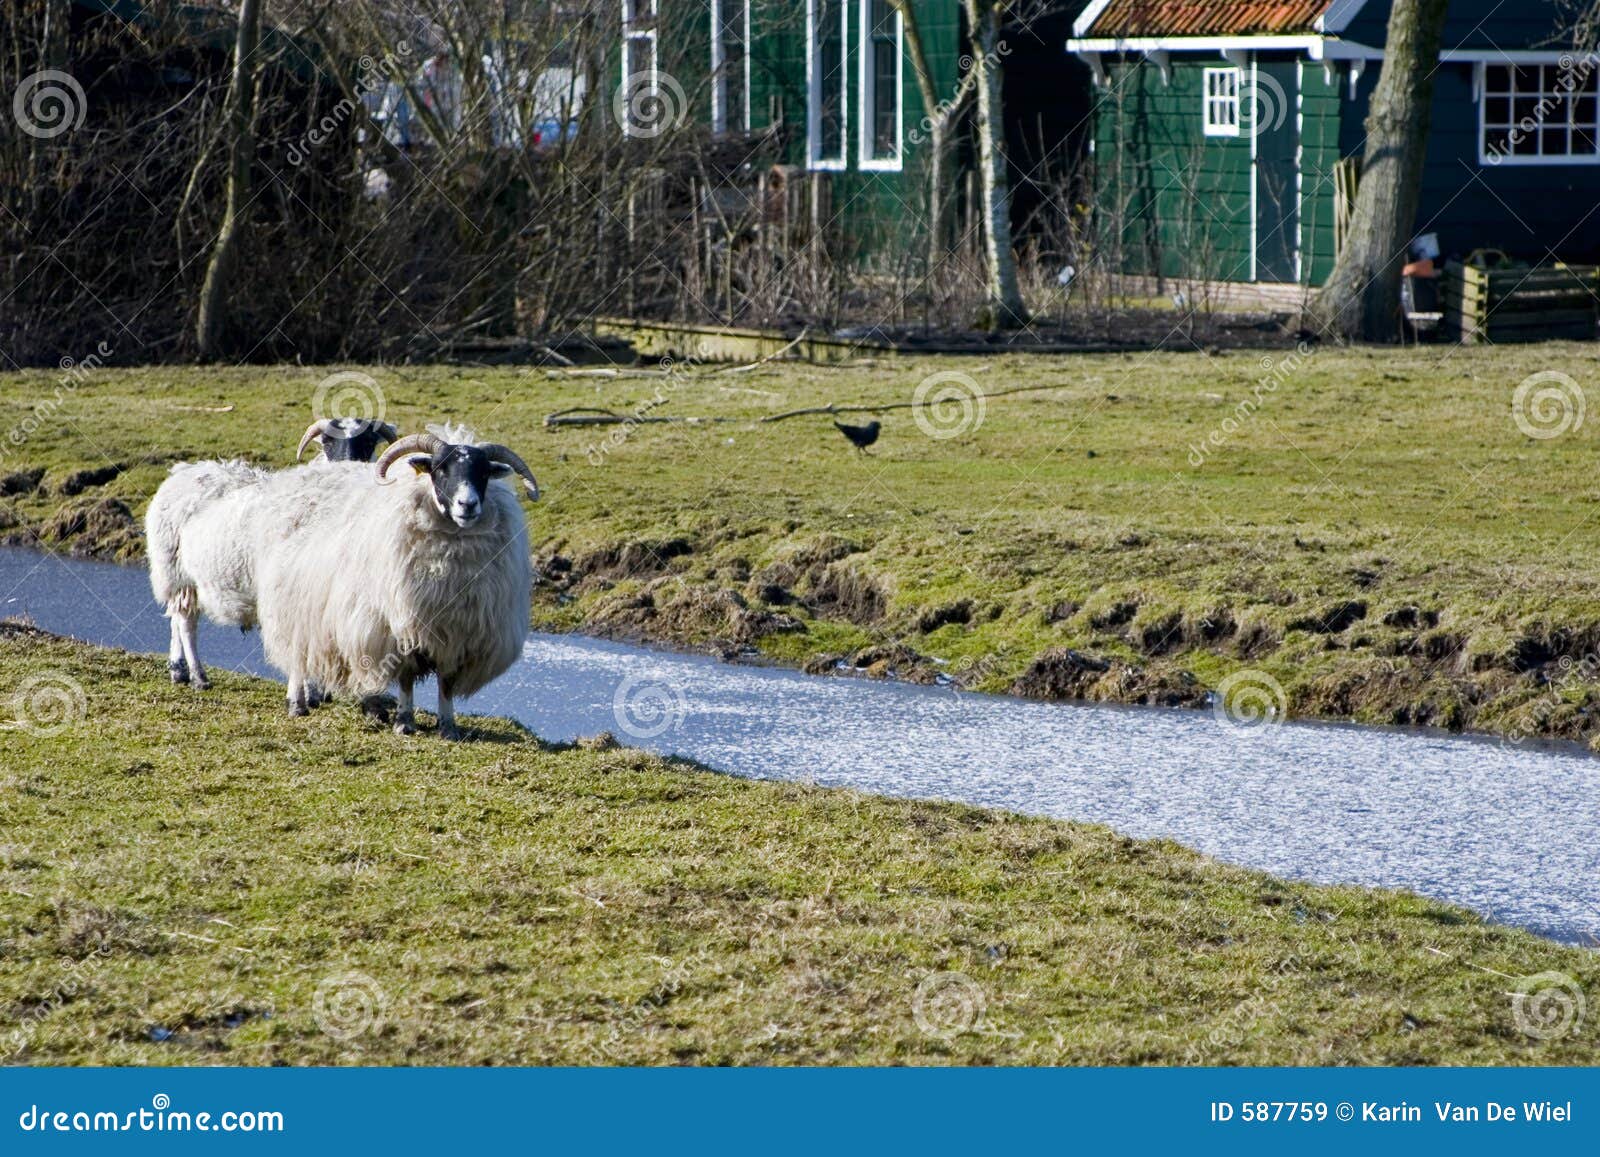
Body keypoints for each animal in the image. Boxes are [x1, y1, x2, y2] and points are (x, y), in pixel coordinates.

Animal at [144, 419, 398, 689]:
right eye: (327, 442)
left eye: (369, 441)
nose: (347, 464)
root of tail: (184, 470)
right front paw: (309, 691)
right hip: (176, 570)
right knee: (185, 622)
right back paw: (198, 675)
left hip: (179, 578)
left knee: (175, 617)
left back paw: (178, 670)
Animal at [254, 426, 540, 738]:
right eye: (439, 469)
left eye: (484, 472)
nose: (468, 505)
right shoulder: (398, 628)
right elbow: (405, 678)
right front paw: (404, 721)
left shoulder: (457, 632)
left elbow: (447, 683)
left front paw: (448, 726)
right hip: (292, 603)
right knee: (297, 656)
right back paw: (298, 703)